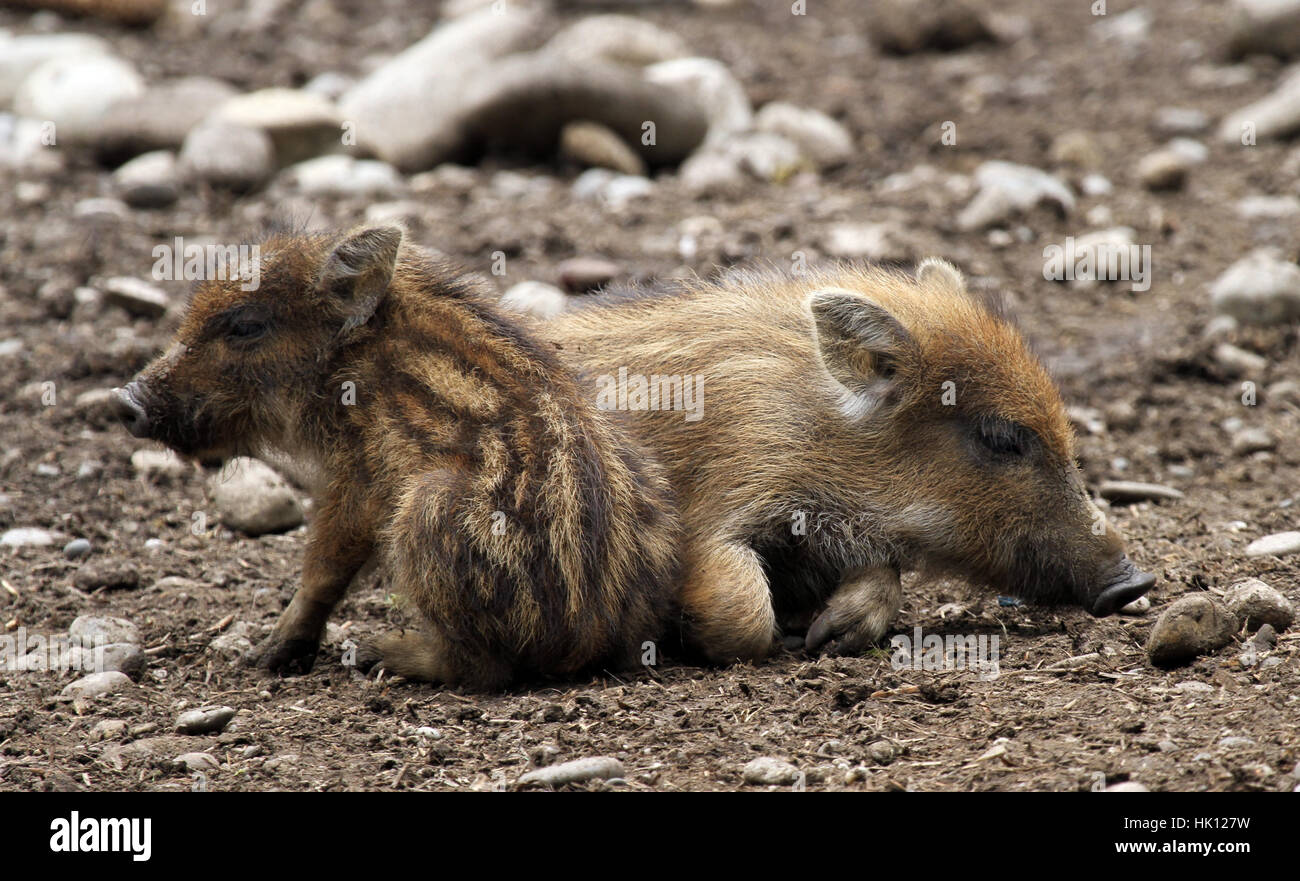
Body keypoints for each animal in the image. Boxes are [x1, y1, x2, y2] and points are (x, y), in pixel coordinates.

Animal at [113, 224, 679, 689]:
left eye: (246, 326)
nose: (125, 400)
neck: (348, 365)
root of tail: (589, 635)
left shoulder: (361, 477)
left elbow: (324, 565)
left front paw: (264, 656)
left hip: (428, 509)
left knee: (482, 669)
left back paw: (379, 652)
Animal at [541, 258, 1156, 661]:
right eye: (1001, 438)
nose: (1135, 583)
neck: (816, 426)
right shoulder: (720, 499)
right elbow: (744, 609)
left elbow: (883, 576)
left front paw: (826, 636)